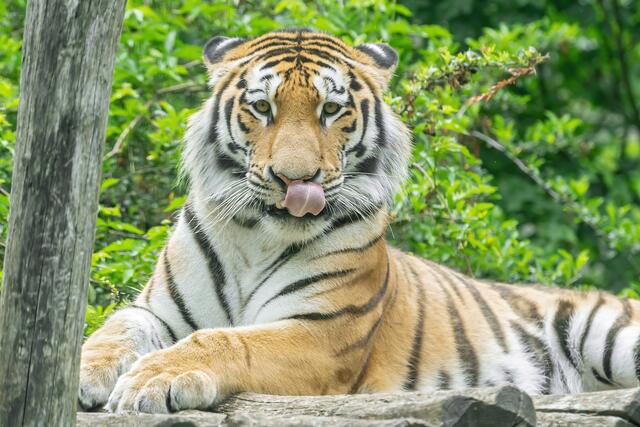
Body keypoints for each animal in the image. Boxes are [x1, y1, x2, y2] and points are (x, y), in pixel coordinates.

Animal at [79, 28, 640, 414]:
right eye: (261, 108)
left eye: (331, 110)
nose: (296, 179)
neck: (257, 237)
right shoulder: (157, 311)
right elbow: (115, 330)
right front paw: (84, 371)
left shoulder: (322, 334)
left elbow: (227, 339)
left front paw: (153, 379)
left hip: (609, 332)